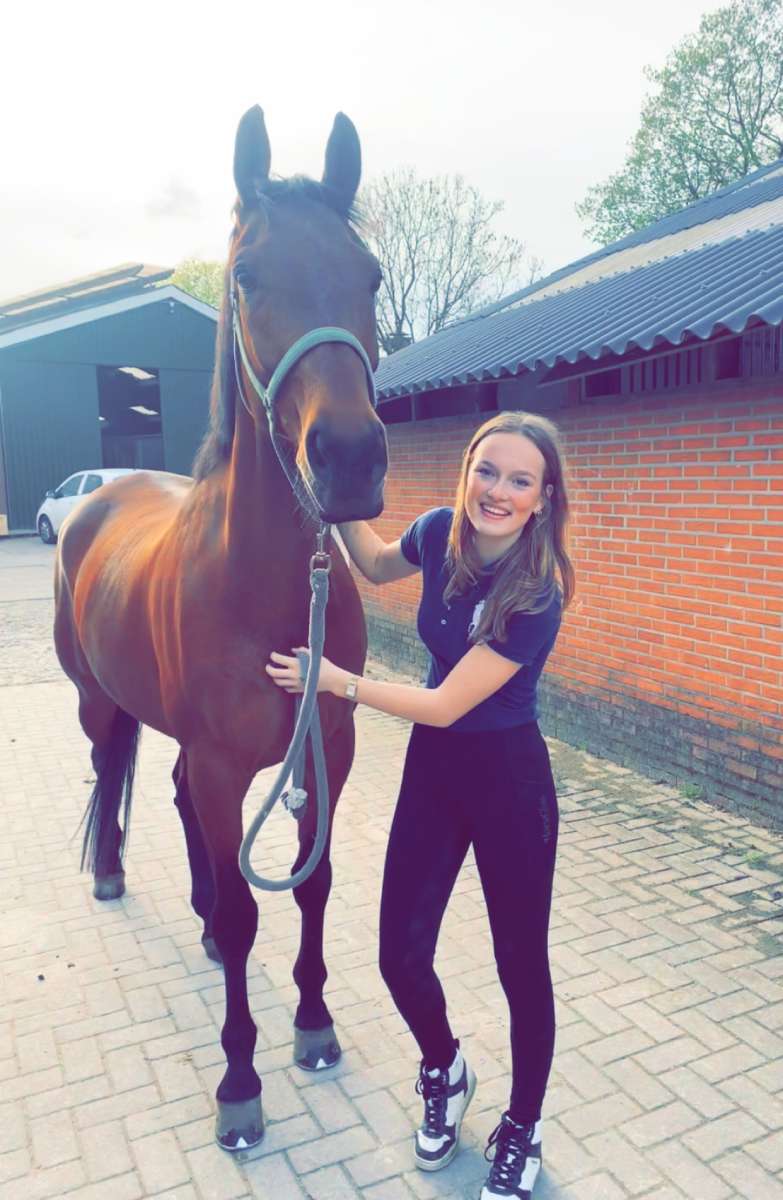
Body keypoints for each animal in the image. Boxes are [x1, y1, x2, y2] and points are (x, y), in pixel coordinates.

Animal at [53, 105, 388, 1151]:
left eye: (368, 275)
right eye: (244, 279)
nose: (350, 459)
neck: (261, 589)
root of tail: (97, 497)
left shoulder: (327, 747)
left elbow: (309, 883)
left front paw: (313, 1027)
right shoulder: (219, 760)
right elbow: (249, 918)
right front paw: (239, 1085)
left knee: (166, 798)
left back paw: (195, 917)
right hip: (101, 703)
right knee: (111, 767)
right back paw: (112, 879)